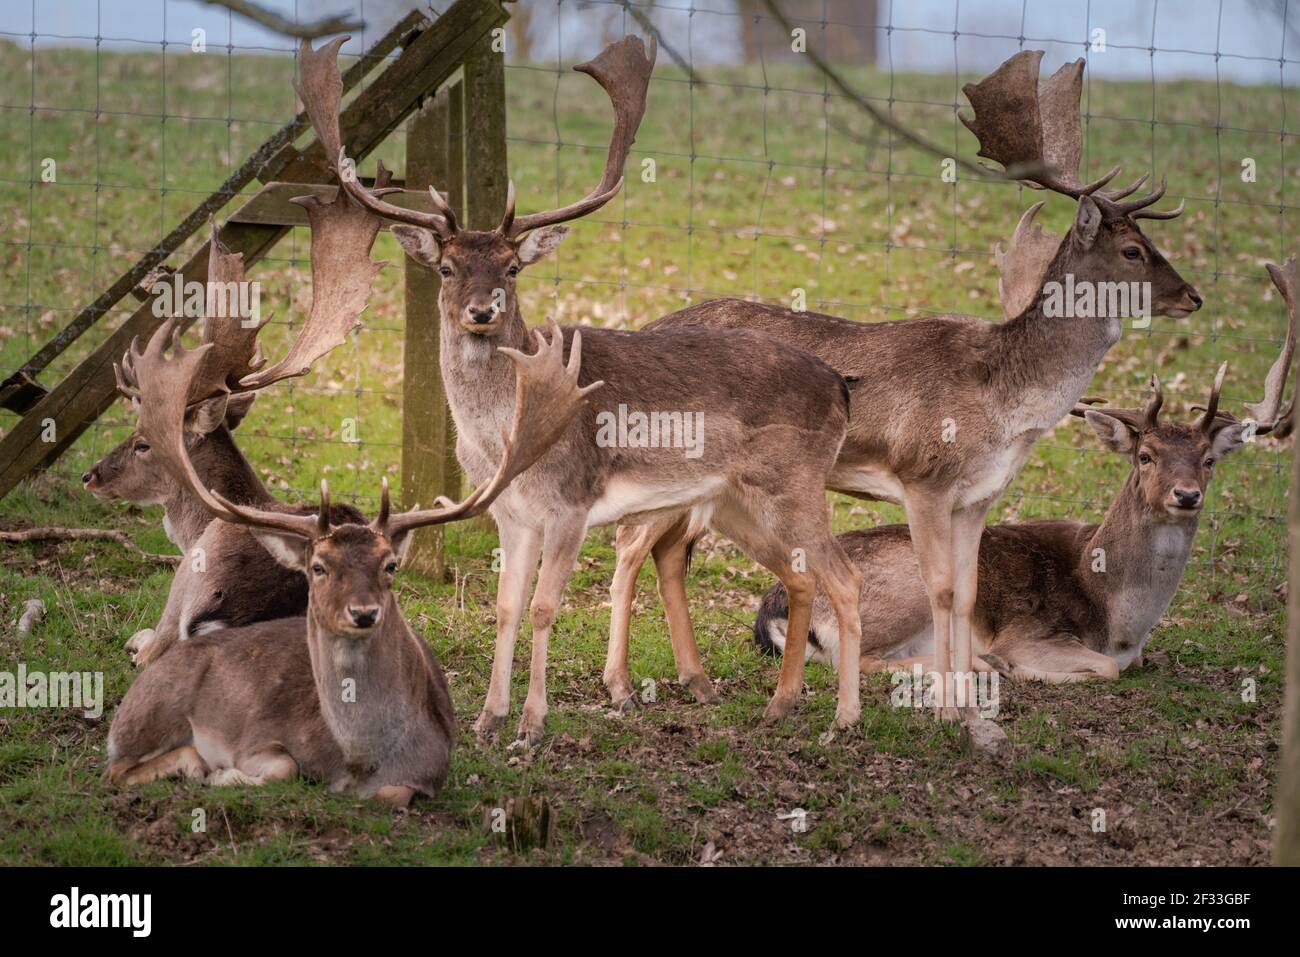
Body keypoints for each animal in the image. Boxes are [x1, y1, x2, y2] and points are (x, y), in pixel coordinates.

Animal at [105, 310, 594, 806]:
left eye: (142, 442)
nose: (93, 475)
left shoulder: (180, 586)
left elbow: (146, 642)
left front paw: (135, 641)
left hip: (190, 593)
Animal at [296, 34, 867, 745]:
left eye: (512, 267)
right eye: (448, 267)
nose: (481, 310)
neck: (501, 439)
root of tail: (840, 386)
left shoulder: (570, 501)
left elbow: (545, 607)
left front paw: (533, 722)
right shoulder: (510, 514)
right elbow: (506, 608)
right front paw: (487, 718)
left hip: (796, 482)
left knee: (845, 578)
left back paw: (844, 718)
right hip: (735, 500)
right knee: (800, 575)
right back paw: (779, 705)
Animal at [602, 49, 1203, 723]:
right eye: (1132, 250)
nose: (1193, 296)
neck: (1004, 405)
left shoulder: (977, 497)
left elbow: (967, 594)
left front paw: (964, 698)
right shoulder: (923, 478)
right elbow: (939, 590)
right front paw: (945, 707)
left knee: (667, 550)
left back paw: (696, 681)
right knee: (629, 542)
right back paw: (621, 686)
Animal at [753, 258, 1295, 682]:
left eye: (1208, 461)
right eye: (1146, 456)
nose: (1185, 495)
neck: (1119, 621)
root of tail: (771, 610)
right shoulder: (1032, 631)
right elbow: (1105, 668)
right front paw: (1019, 666)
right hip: (902, 589)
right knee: (863, 658)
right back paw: (983, 664)